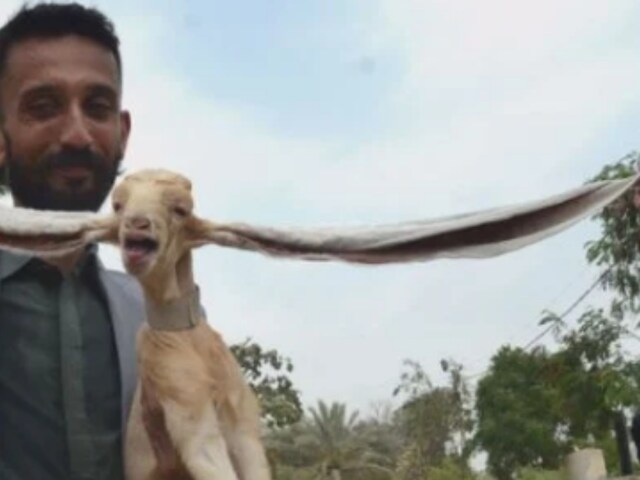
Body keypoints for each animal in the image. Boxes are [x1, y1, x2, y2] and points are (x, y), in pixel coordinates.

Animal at [0, 168, 635, 479]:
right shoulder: (191, 426)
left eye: (181, 209)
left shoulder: (241, 428)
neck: (186, 340)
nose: (136, 230)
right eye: (115, 205)